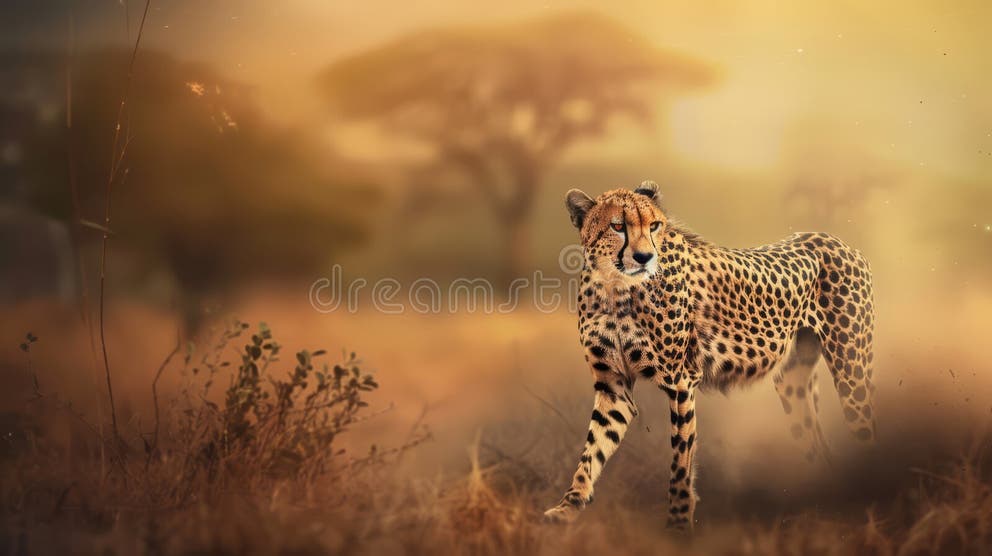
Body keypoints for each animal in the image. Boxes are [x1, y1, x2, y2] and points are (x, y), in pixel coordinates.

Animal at [543, 181, 877, 530]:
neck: (614, 286)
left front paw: (678, 524)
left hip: (852, 371)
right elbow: (591, 451)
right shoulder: (613, 387)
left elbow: (680, 462)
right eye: (618, 226)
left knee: (866, 441)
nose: (645, 257)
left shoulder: (680, 381)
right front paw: (568, 507)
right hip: (792, 384)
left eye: (654, 225)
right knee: (820, 450)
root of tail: (836, 240)